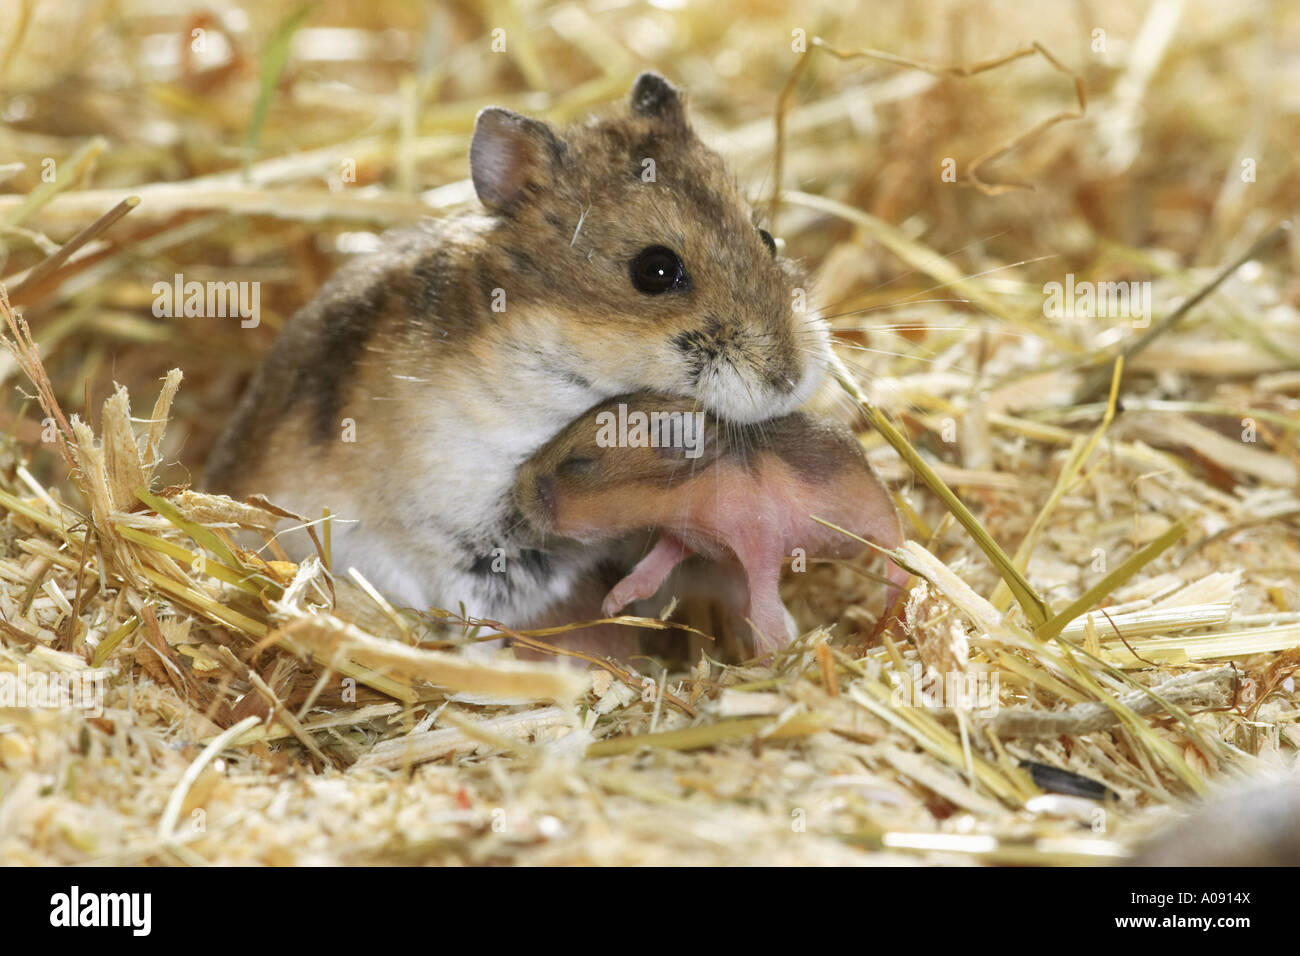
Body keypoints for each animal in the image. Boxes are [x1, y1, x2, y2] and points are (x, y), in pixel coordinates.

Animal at [513, 393, 908, 654]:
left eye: (578, 463)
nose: (516, 492)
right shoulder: (685, 537)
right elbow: (650, 570)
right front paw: (611, 605)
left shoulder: (761, 541)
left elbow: (764, 603)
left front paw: (773, 656)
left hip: (882, 520)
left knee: (900, 555)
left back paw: (891, 611)